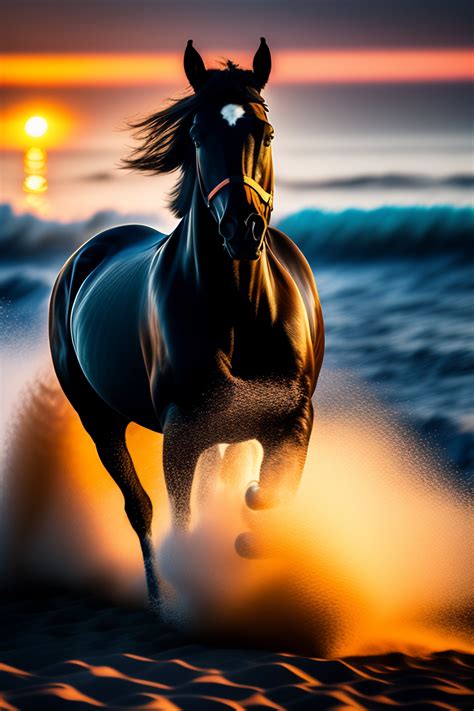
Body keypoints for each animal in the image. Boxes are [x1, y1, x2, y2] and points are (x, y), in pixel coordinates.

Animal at [49, 38, 325, 610]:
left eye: (266, 132)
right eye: (198, 135)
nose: (242, 229)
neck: (240, 311)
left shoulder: (292, 421)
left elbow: (273, 498)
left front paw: (252, 527)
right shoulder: (181, 435)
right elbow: (183, 516)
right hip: (99, 420)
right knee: (140, 508)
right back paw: (161, 601)